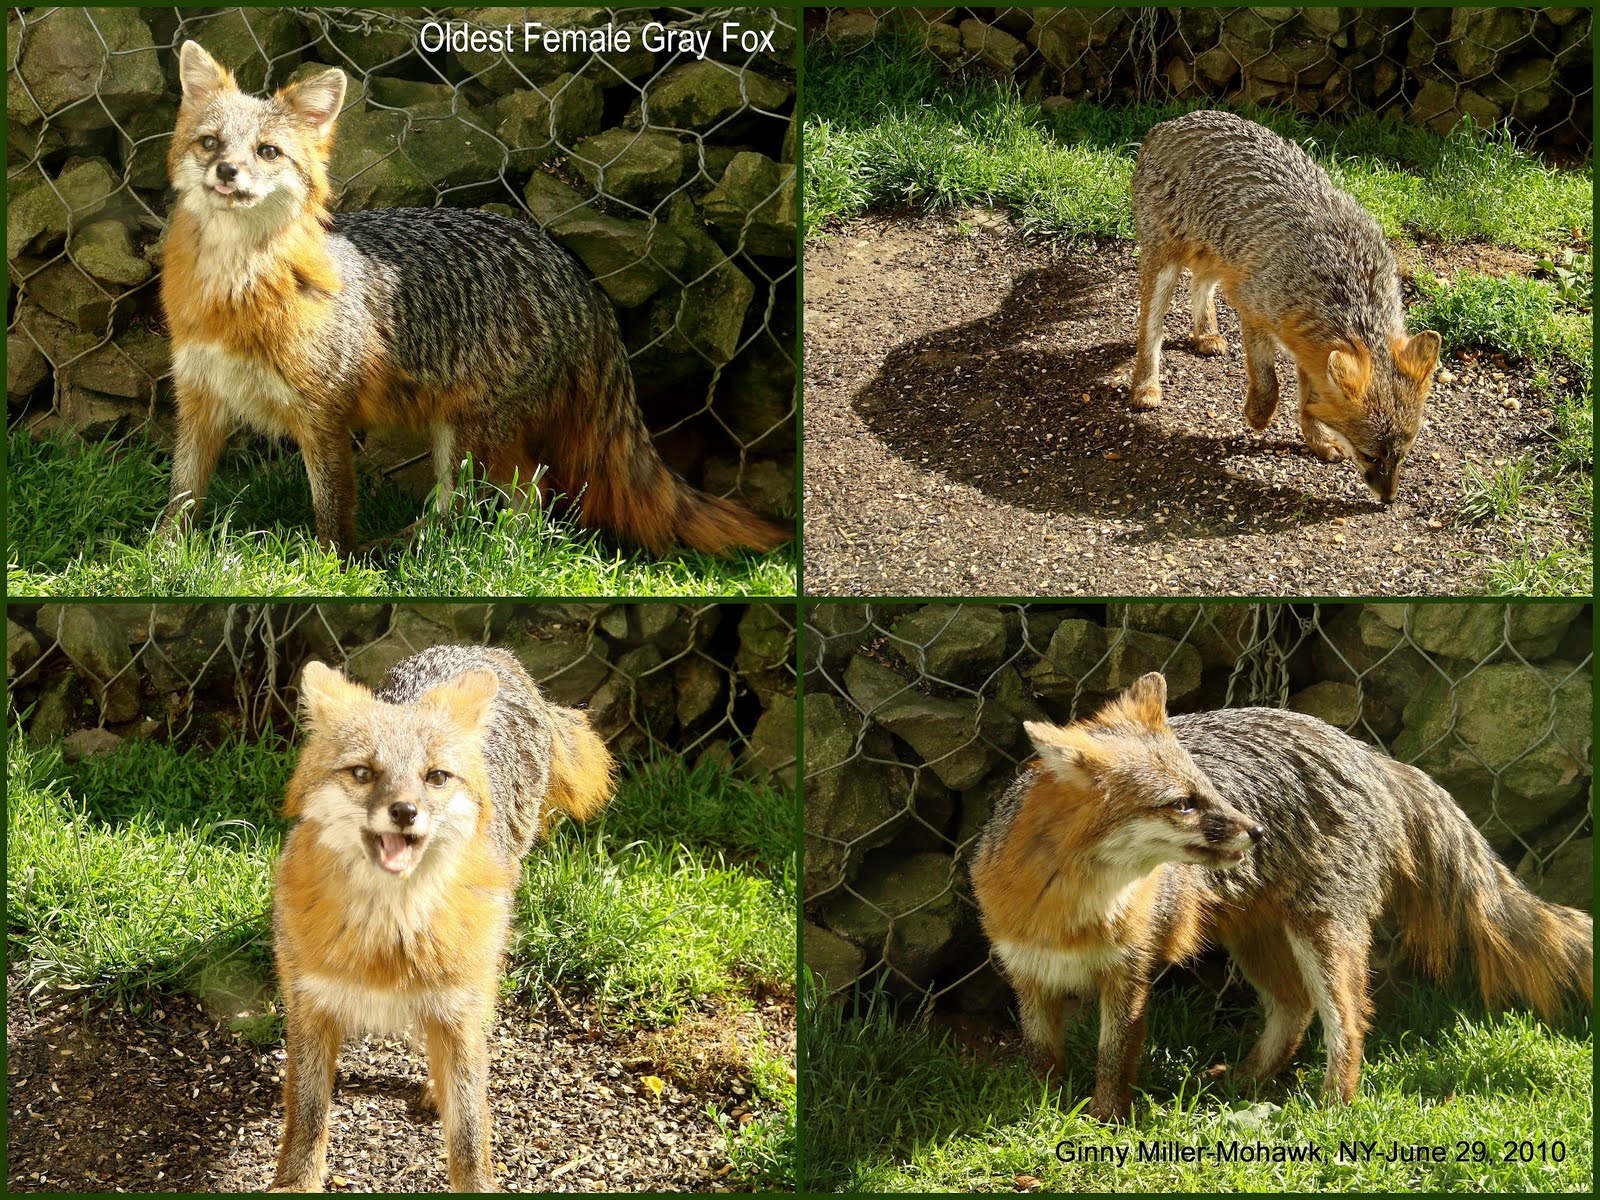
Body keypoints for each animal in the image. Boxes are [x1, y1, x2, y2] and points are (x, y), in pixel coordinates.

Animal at [160, 41, 789, 558]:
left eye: (268, 151)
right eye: (210, 143)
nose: (227, 170)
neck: (234, 290)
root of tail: (575, 273)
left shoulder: (323, 415)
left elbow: (332, 512)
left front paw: (335, 568)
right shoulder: (199, 398)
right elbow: (181, 496)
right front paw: (163, 555)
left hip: (467, 431)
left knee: (473, 505)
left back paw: (409, 553)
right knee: (523, 502)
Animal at [270, 645, 615, 1191]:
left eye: (435, 777)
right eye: (363, 772)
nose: (405, 811)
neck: (388, 938)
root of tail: (485, 651)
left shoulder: (457, 1005)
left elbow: (471, 1130)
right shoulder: (310, 1001)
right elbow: (307, 1117)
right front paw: (296, 1182)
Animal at [970, 672, 1592, 1123]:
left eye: (1209, 789)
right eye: (1183, 803)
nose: (1257, 830)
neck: (1072, 910)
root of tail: (1369, 753)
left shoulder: (1130, 975)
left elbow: (1112, 1057)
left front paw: (1105, 1124)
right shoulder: (1027, 975)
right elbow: (1042, 1057)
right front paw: (1048, 1112)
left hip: (1321, 935)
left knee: (1347, 1022)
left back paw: (1332, 1109)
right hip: (1256, 939)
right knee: (1293, 1009)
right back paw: (1247, 1081)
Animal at [1129, 110, 1443, 503]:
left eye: (1404, 454)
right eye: (1370, 455)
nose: (1388, 500)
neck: (1345, 288)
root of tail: (1176, 120)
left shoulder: (1310, 343)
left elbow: (1309, 399)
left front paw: (1317, 440)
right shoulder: (1256, 311)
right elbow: (1269, 384)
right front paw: (1258, 418)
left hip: (1220, 258)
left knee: (1200, 284)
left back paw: (1206, 333)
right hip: (1166, 264)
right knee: (1150, 327)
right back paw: (1146, 386)